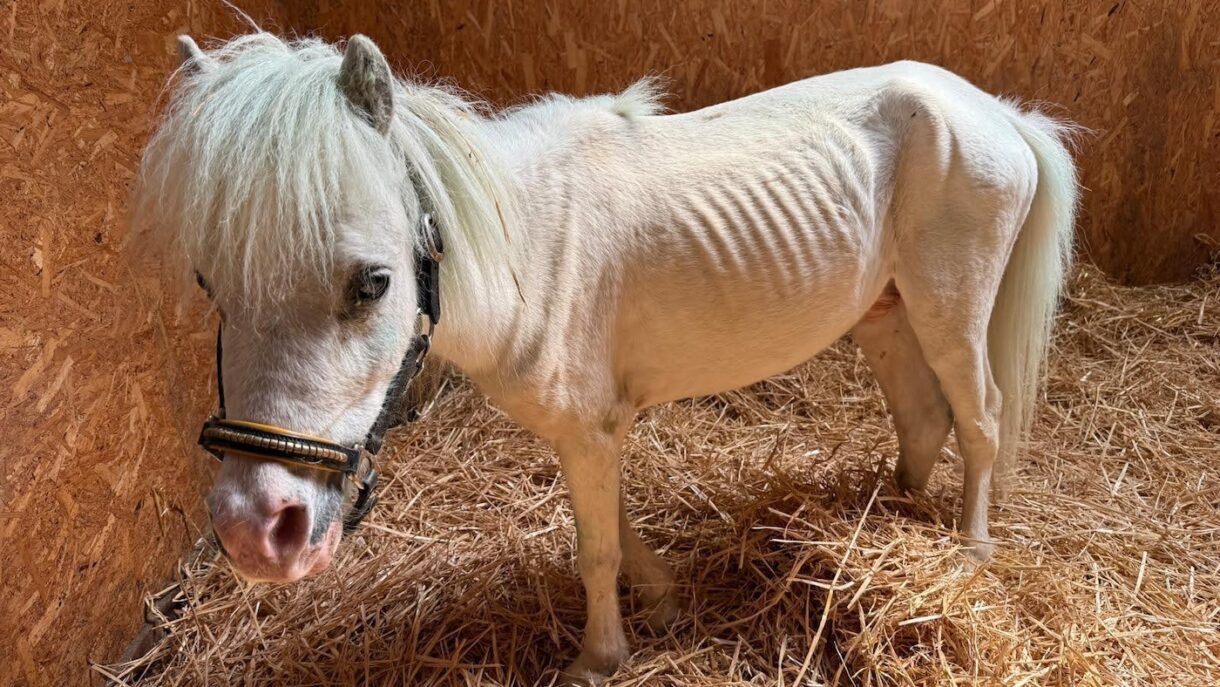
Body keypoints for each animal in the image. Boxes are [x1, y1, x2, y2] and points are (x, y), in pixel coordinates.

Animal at [134, 32, 1077, 685]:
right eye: (209, 281)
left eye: (372, 282)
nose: (257, 531)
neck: (530, 250)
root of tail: (997, 112)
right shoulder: (593, 429)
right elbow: (615, 527)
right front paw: (663, 596)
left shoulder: (587, 430)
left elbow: (594, 550)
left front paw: (599, 656)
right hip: (886, 313)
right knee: (921, 417)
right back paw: (885, 517)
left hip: (951, 311)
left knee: (981, 417)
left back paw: (969, 547)